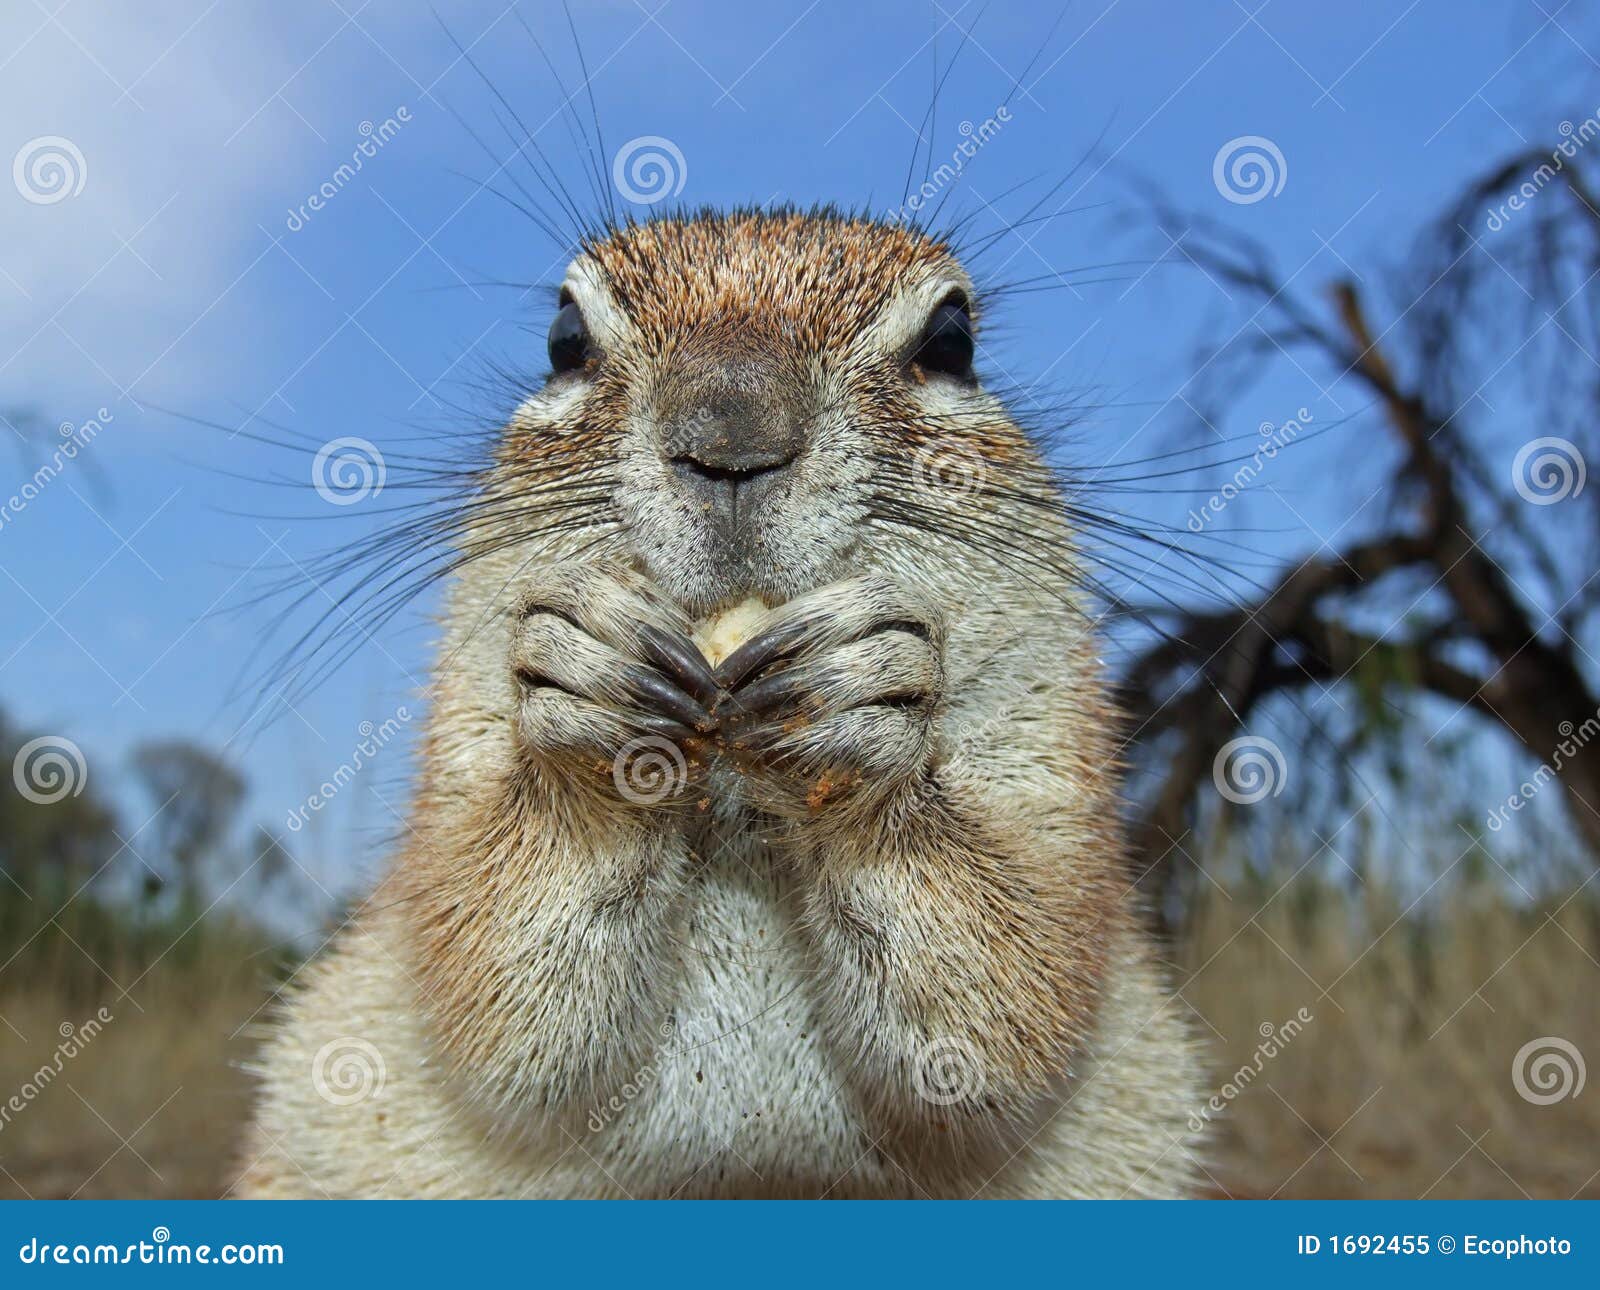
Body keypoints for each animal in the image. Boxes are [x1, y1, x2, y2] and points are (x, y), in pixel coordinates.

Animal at [235, 209, 1203, 1198]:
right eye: (565, 340)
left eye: (951, 345)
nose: (732, 442)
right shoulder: (465, 726)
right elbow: (486, 976)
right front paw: (592, 689)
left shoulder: (1050, 749)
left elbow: (1024, 986)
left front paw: (856, 701)